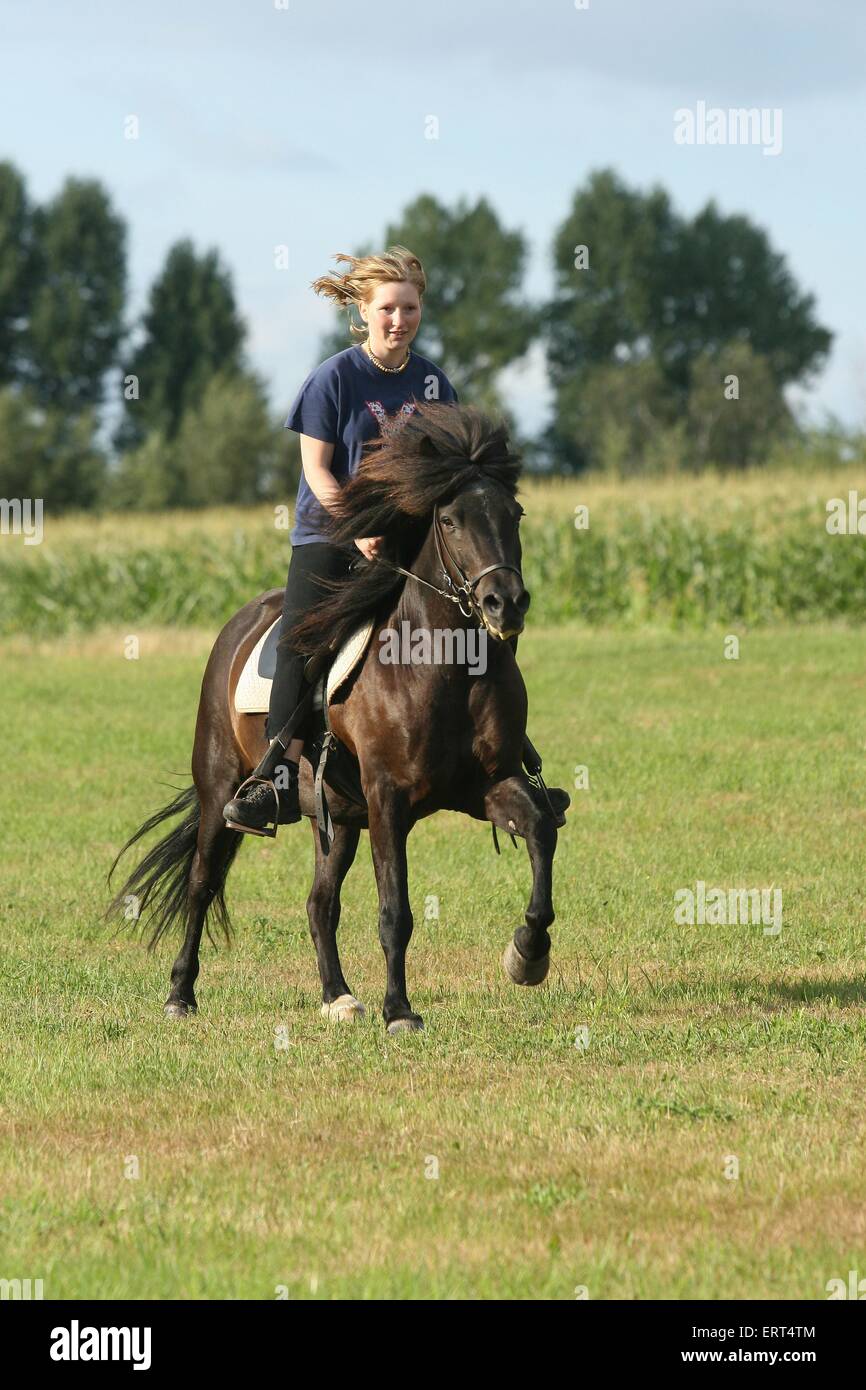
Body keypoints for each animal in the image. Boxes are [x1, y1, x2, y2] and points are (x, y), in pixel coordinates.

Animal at [108, 402, 569, 1033]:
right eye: (450, 520)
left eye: (514, 513)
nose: (506, 603)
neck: (445, 666)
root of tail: (240, 622)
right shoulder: (388, 797)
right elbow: (395, 910)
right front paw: (400, 1011)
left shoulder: (485, 784)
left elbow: (542, 831)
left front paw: (527, 955)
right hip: (221, 786)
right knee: (203, 883)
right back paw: (181, 995)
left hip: (339, 817)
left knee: (318, 903)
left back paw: (338, 996)